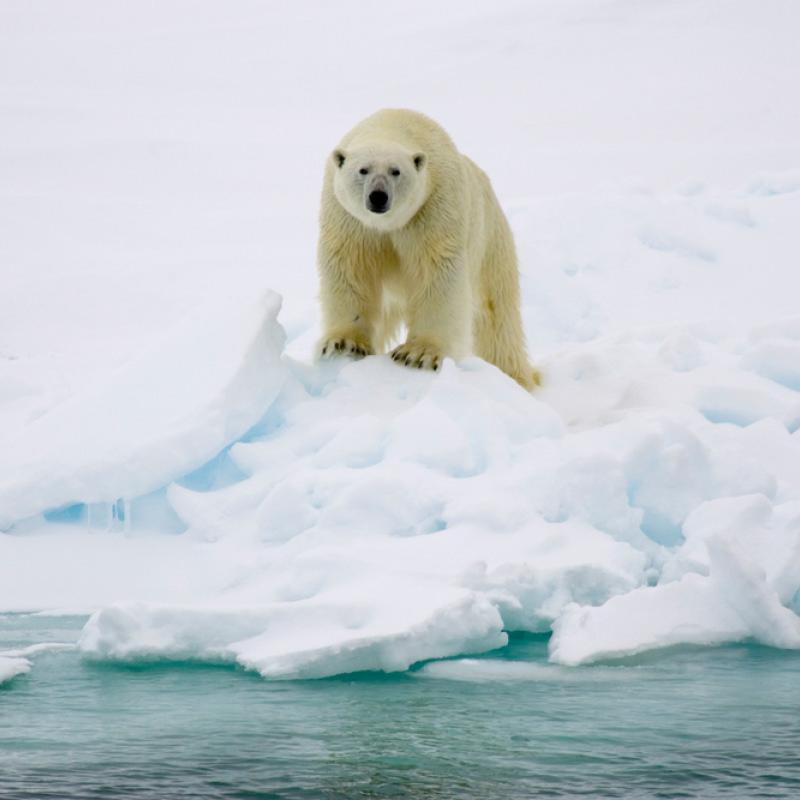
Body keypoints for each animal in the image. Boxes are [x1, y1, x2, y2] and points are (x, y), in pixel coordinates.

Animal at [316, 108, 539, 390]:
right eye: (362, 170)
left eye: (396, 171)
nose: (378, 196)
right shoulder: (349, 219)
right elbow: (350, 268)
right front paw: (344, 344)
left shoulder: (434, 208)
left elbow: (438, 274)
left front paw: (417, 354)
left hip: (491, 242)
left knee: (497, 317)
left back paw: (515, 376)